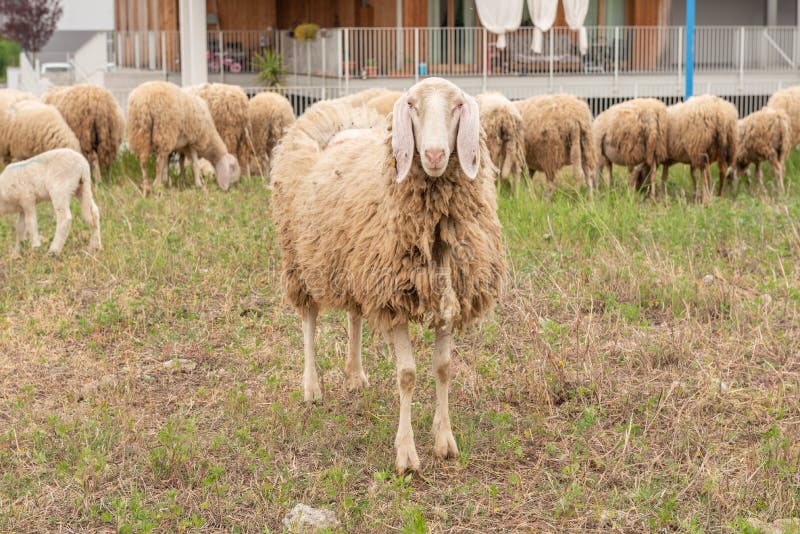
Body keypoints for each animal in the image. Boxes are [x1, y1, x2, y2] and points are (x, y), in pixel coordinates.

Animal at [271, 78, 506, 474]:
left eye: (457, 105)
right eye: (412, 105)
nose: (434, 155)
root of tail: (339, 115)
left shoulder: (447, 297)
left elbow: (444, 368)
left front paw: (444, 440)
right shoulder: (394, 298)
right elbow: (407, 375)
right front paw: (406, 455)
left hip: (354, 264)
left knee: (354, 315)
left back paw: (355, 375)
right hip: (302, 260)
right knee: (309, 321)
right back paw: (312, 387)